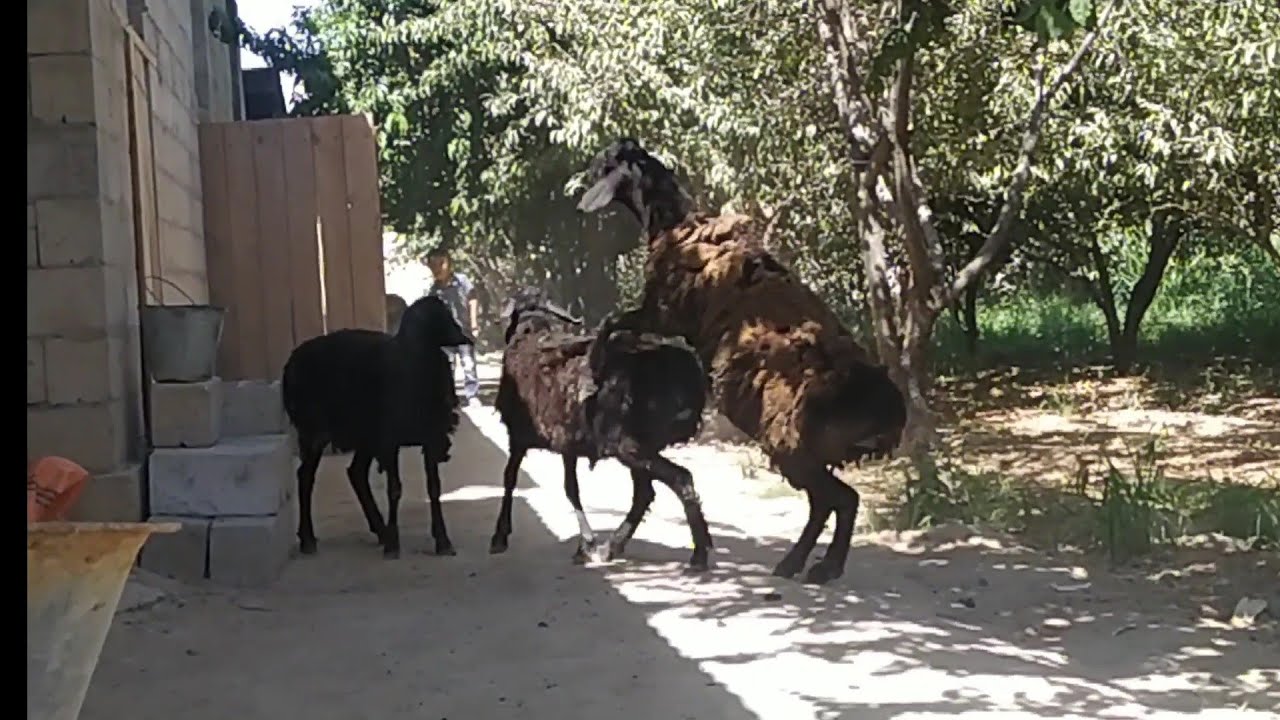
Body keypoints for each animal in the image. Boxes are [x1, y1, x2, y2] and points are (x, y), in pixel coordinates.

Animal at [281, 295, 471, 559]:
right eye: (438, 317)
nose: (464, 337)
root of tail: (291, 362)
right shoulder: (390, 441)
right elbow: (394, 489)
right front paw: (394, 546)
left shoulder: (430, 438)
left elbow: (434, 488)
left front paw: (443, 541)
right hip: (314, 432)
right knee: (305, 476)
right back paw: (308, 539)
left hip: (365, 437)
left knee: (355, 473)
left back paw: (380, 531)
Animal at [489, 286, 715, 569]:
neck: (531, 332)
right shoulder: (566, 442)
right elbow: (570, 488)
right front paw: (586, 545)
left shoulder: (518, 436)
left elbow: (510, 479)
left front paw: (500, 536)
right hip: (638, 445)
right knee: (646, 492)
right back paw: (614, 547)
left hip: (625, 444)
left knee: (679, 479)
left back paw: (699, 553)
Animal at [576, 138, 908, 585]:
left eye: (605, 161)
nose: (583, 181)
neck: (674, 223)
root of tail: (887, 412)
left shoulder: (662, 312)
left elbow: (611, 322)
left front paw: (592, 368)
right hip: (802, 452)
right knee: (830, 501)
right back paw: (800, 564)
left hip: (793, 447)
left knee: (840, 500)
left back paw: (819, 566)